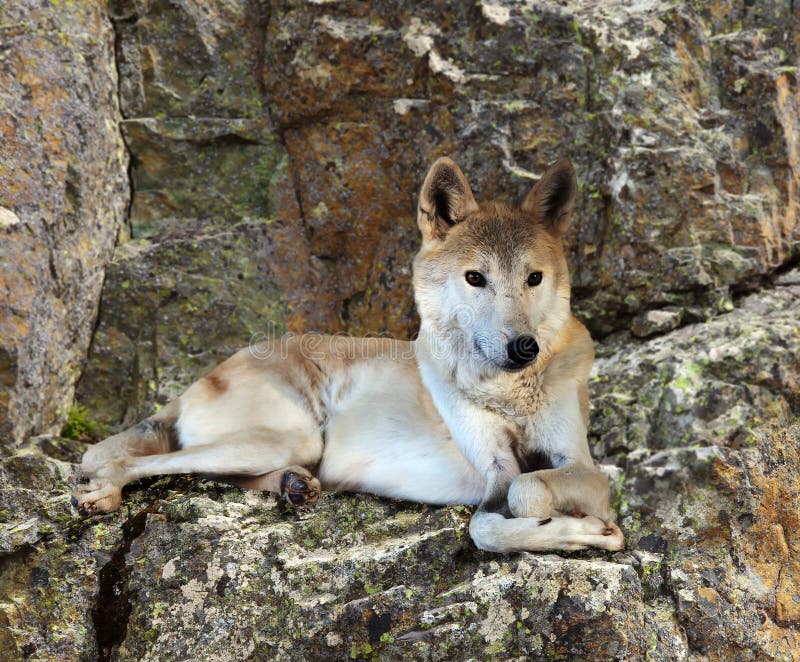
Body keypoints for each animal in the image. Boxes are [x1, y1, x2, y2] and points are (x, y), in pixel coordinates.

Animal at [73, 157, 624, 553]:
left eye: (534, 278)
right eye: (475, 278)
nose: (523, 347)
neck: (507, 392)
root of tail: (204, 376)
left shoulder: (580, 463)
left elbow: (522, 493)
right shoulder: (496, 470)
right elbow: (498, 513)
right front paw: (580, 532)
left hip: (287, 448)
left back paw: (294, 487)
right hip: (284, 437)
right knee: (131, 460)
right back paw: (105, 491)